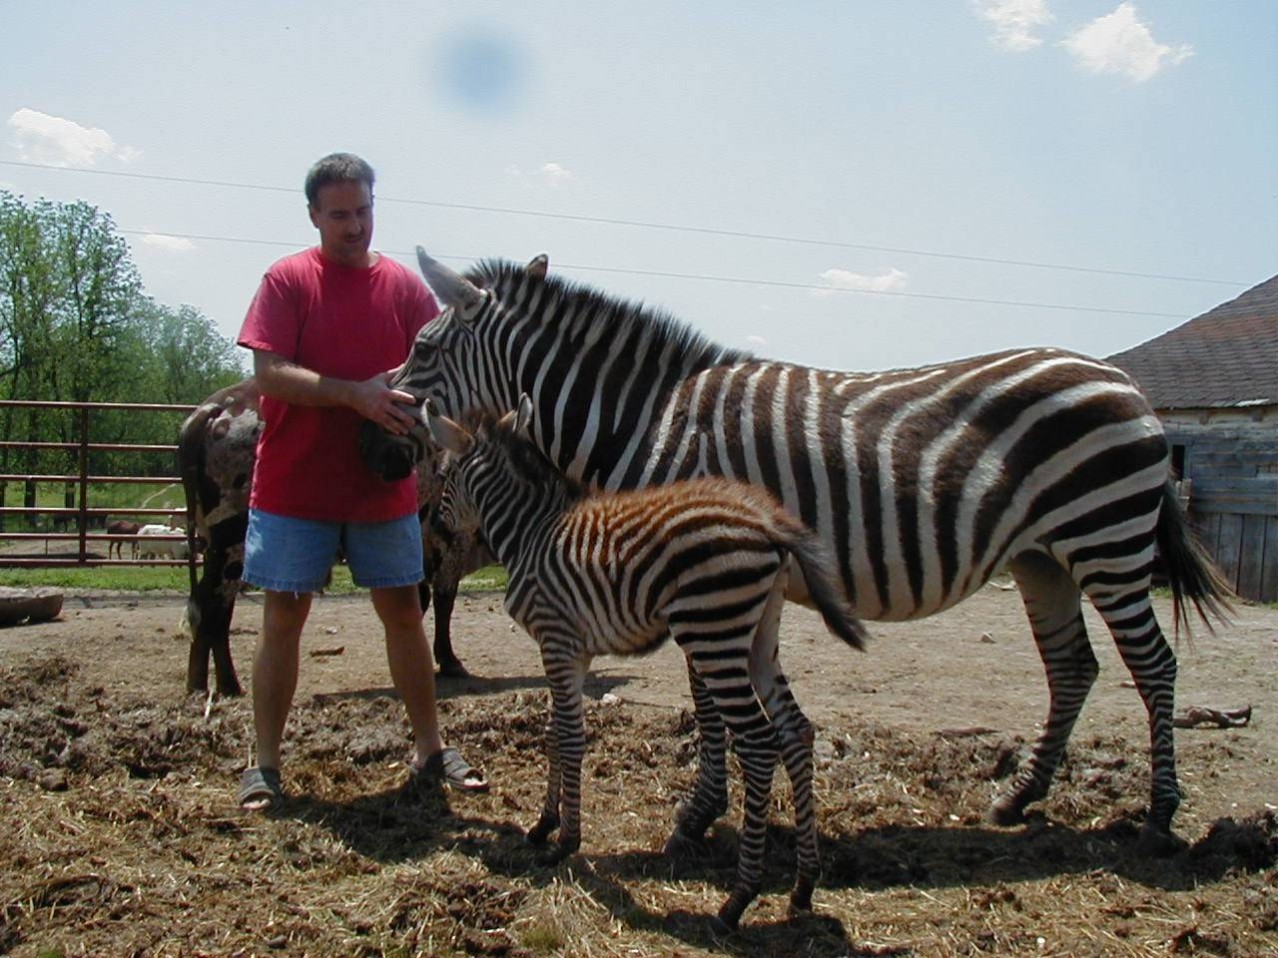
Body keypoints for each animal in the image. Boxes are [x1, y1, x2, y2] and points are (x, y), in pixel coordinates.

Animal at [360, 248, 1231, 857]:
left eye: (423, 346)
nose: (377, 445)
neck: (649, 420)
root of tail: (1121, 378)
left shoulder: (698, 564)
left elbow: (708, 699)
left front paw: (696, 816)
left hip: (1106, 538)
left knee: (1152, 666)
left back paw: (1159, 817)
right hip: (1043, 556)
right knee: (1073, 667)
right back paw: (1019, 799)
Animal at [424, 395, 867, 931]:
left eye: (443, 475)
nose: (434, 532)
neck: (531, 531)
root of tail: (767, 520)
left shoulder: (556, 639)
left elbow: (569, 738)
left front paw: (565, 841)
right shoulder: (572, 650)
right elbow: (553, 733)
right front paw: (544, 823)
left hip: (712, 634)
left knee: (759, 744)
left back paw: (738, 900)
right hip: (759, 636)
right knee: (796, 730)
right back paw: (803, 886)